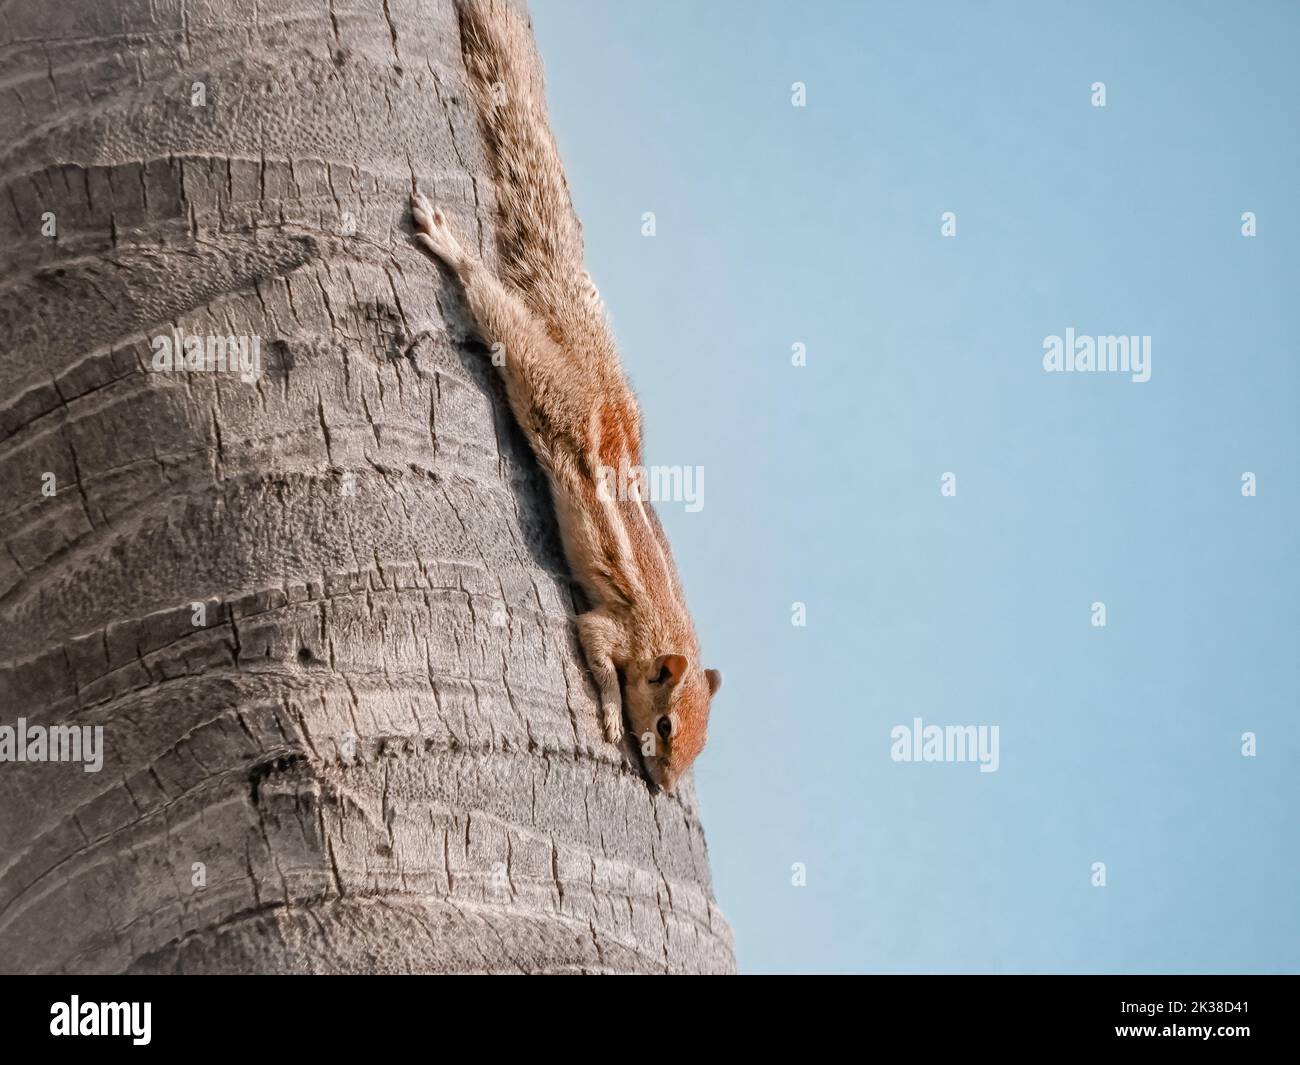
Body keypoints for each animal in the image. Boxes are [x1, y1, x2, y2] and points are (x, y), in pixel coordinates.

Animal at [410, 0, 721, 794]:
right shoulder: (608, 625)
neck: (664, 632)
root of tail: (604, 392)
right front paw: (610, 714)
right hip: (546, 387)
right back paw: (453, 248)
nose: (666, 788)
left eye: (702, 745)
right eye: (666, 725)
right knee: (503, 317)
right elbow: (597, 655)